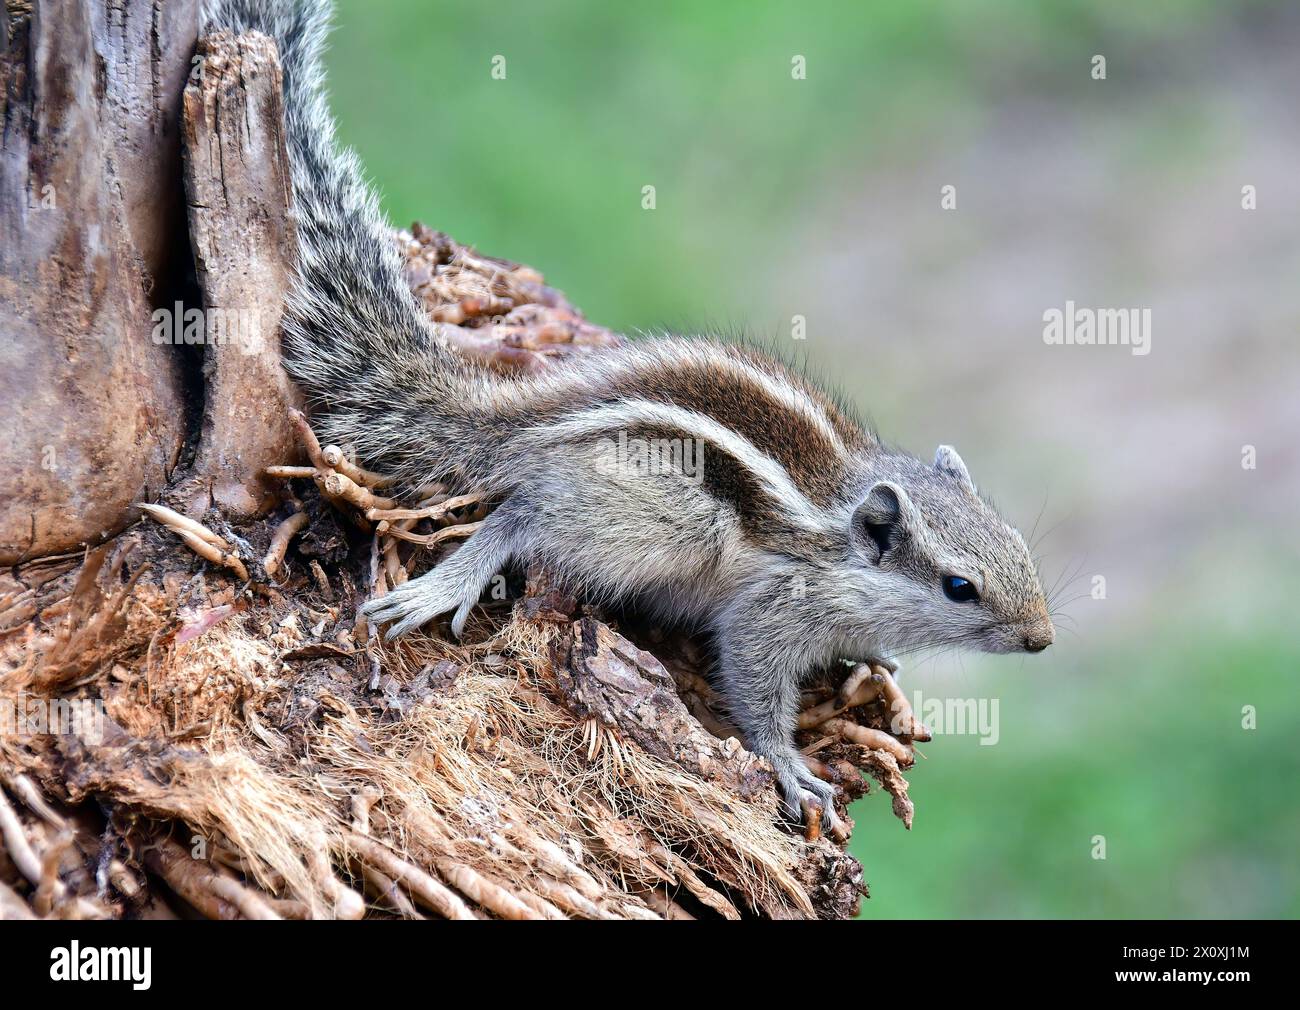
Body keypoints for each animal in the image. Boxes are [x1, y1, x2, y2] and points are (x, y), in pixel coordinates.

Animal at [203, 0, 1055, 829]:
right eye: (959, 587)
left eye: (1019, 545)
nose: (1042, 638)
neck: (840, 536)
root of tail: (525, 417)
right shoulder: (774, 610)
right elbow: (753, 682)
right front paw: (787, 765)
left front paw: (876, 660)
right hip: (668, 511)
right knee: (523, 515)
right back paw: (457, 575)